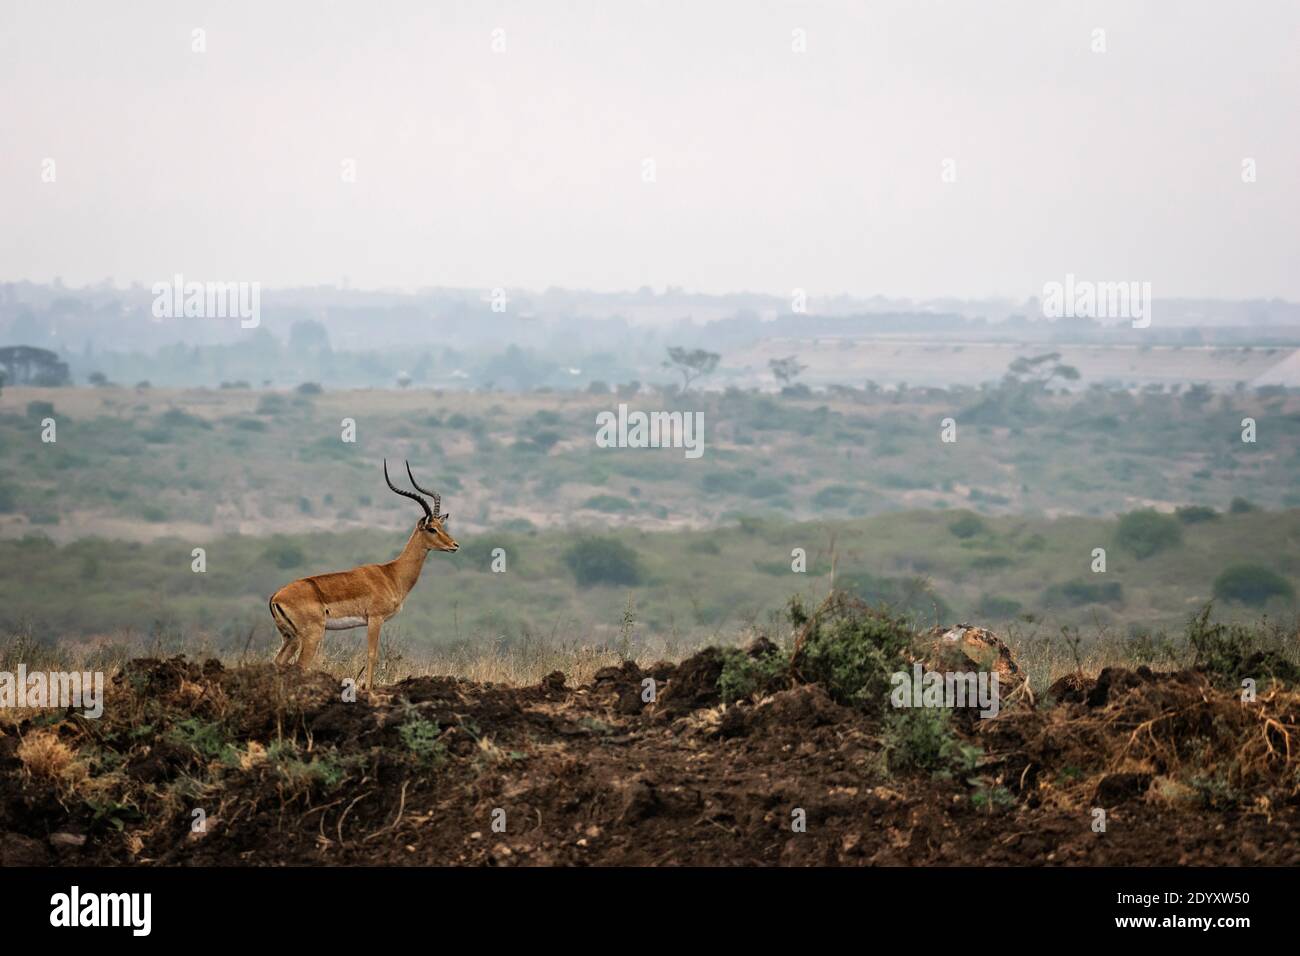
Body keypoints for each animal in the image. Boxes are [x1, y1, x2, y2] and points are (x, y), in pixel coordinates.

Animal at [269, 460, 459, 690]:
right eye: (431, 529)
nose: (455, 545)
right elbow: (372, 655)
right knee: (299, 666)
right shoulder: (375, 619)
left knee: (278, 662)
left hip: (290, 638)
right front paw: (368, 688)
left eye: (441, 525)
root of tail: (276, 597)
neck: (392, 574)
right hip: (312, 635)